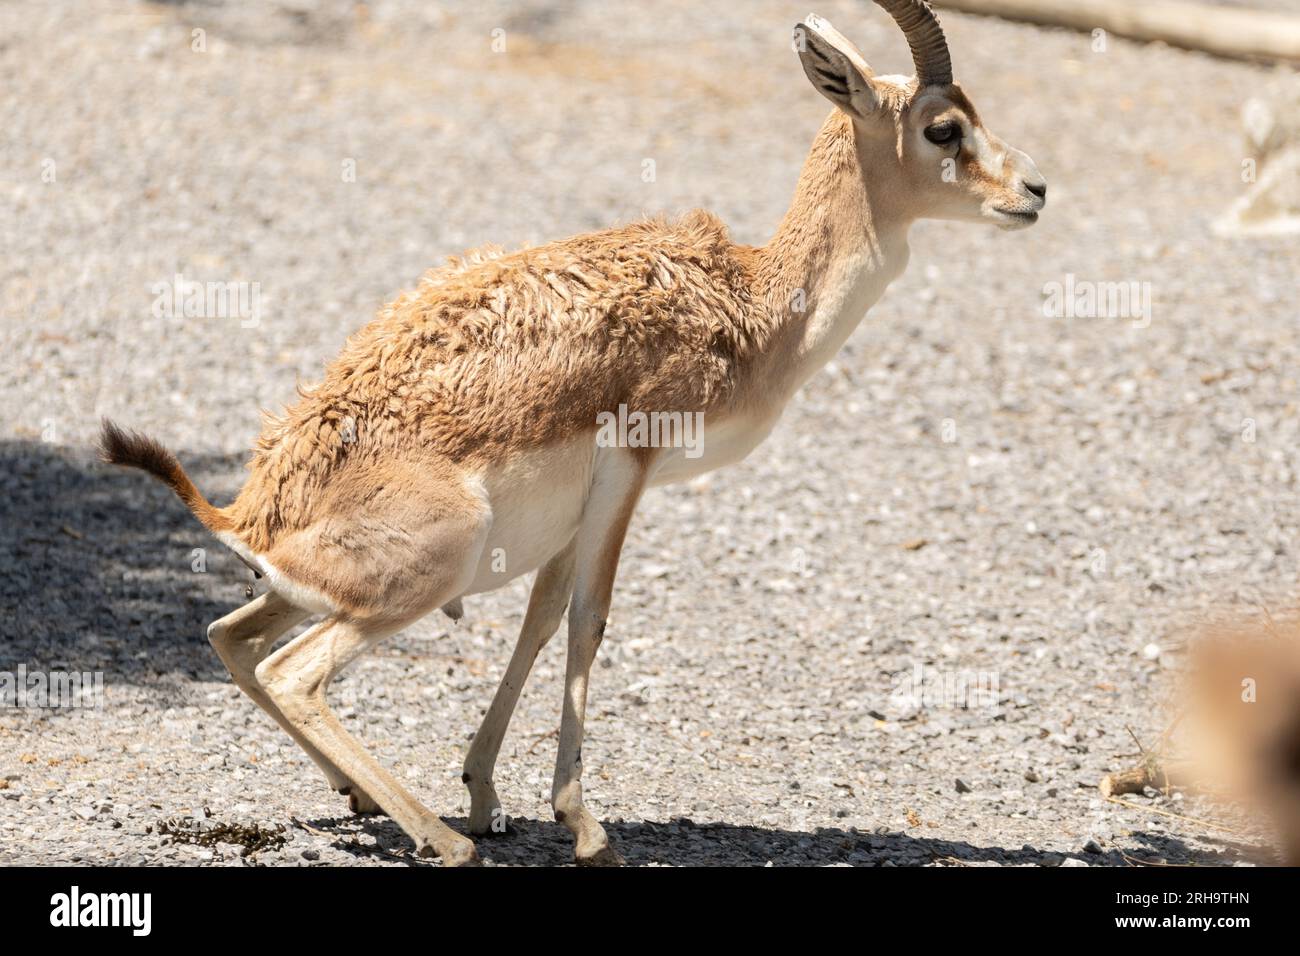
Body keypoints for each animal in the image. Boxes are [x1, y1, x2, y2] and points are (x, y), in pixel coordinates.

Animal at [101, 1, 1045, 866]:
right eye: (943, 126)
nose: (1034, 191)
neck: (753, 306)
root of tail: (252, 512)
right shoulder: (628, 469)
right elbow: (591, 619)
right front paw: (582, 826)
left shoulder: (568, 513)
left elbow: (543, 616)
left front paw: (487, 792)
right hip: (429, 569)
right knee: (292, 671)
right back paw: (441, 839)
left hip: (324, 586)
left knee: (231, 637)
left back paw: (367, 798)